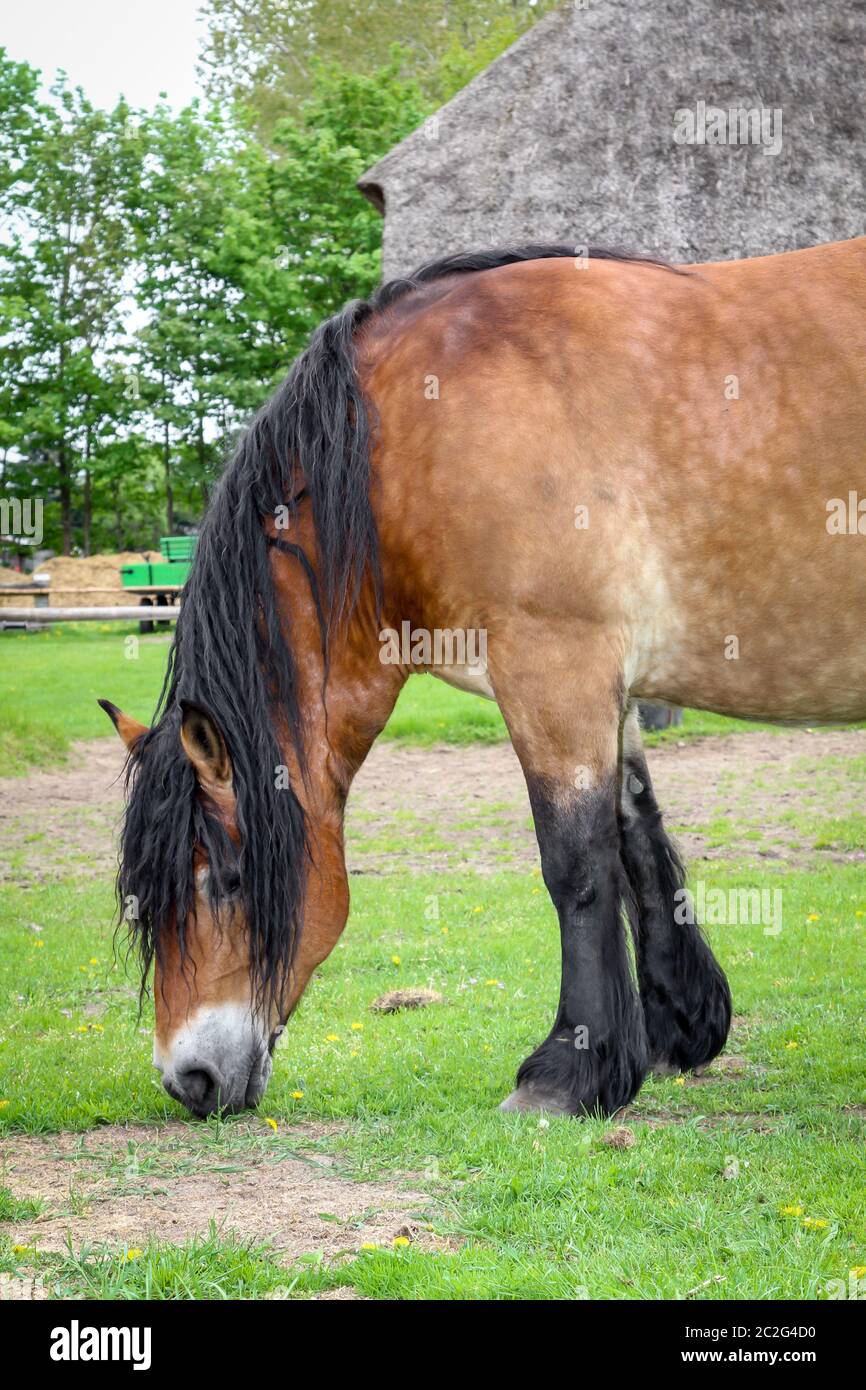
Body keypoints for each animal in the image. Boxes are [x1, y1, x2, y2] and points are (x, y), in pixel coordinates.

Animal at [101, 236, 866, 1119]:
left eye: (223, 879)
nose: (187, 1080)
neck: (411, 435)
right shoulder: (605, 684)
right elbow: (639, 836)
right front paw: (678, 1025)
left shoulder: (552, 664)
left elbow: (578, 864)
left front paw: (567, 1072)